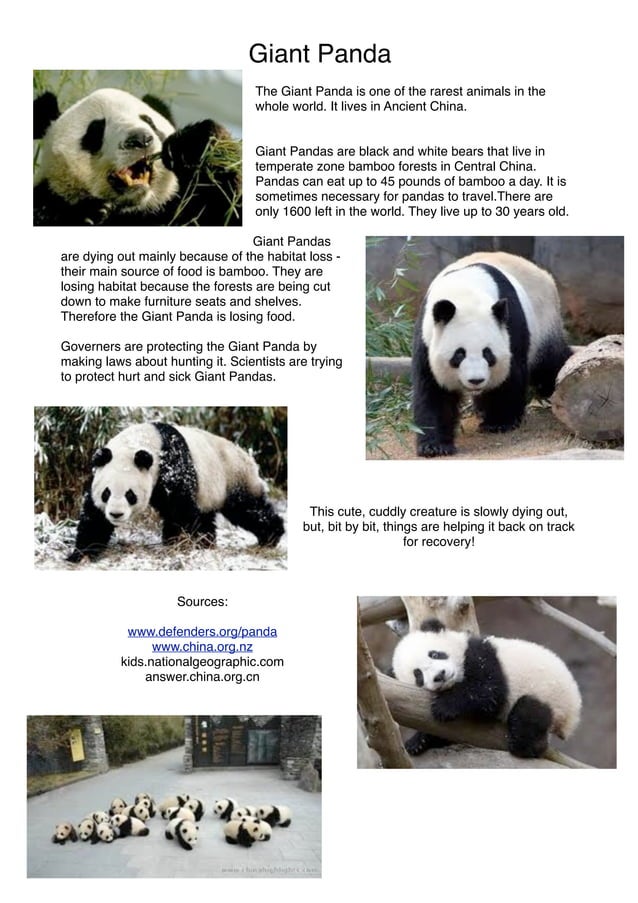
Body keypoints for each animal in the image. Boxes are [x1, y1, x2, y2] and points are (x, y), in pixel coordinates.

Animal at [33, 87, 241, 226]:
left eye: (149, 121)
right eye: (96, 130)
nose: (140, 139)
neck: (133, 209)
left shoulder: (182, 204)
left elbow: (229, 208)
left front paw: (192, 144)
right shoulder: (48, 198)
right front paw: (90, 212)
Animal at [67, 422, 285, 562]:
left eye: (130, 494)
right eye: (106, 493)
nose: (116, 514)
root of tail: (247, 456)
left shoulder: (173, 467)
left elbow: (180, 510)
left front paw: (180, 543)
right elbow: (95, 517)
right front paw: (81, 554)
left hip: (233, 476)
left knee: (248, 509)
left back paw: (271, 536)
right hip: (209, 491)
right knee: (207, 517)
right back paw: (206, 543)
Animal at [391, 618, 582, 758]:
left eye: (435, 654)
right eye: (418, 675)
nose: (440, 675)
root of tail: (571, 718)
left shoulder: (482, 655)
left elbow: (488, 690)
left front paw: (443, 706)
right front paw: (417, 742)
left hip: (551, 696)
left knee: (530, 712)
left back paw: (527, 747)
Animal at [411, 251, 573, 456]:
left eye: (487, 353)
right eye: (459, 354)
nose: (476, 380)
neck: (464, 292)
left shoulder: (510, 323)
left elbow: (510, 374)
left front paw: (499, 422)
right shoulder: (427, 337)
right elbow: (432, 390)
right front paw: (434, 446)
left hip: (544, 321)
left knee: (550, 363)